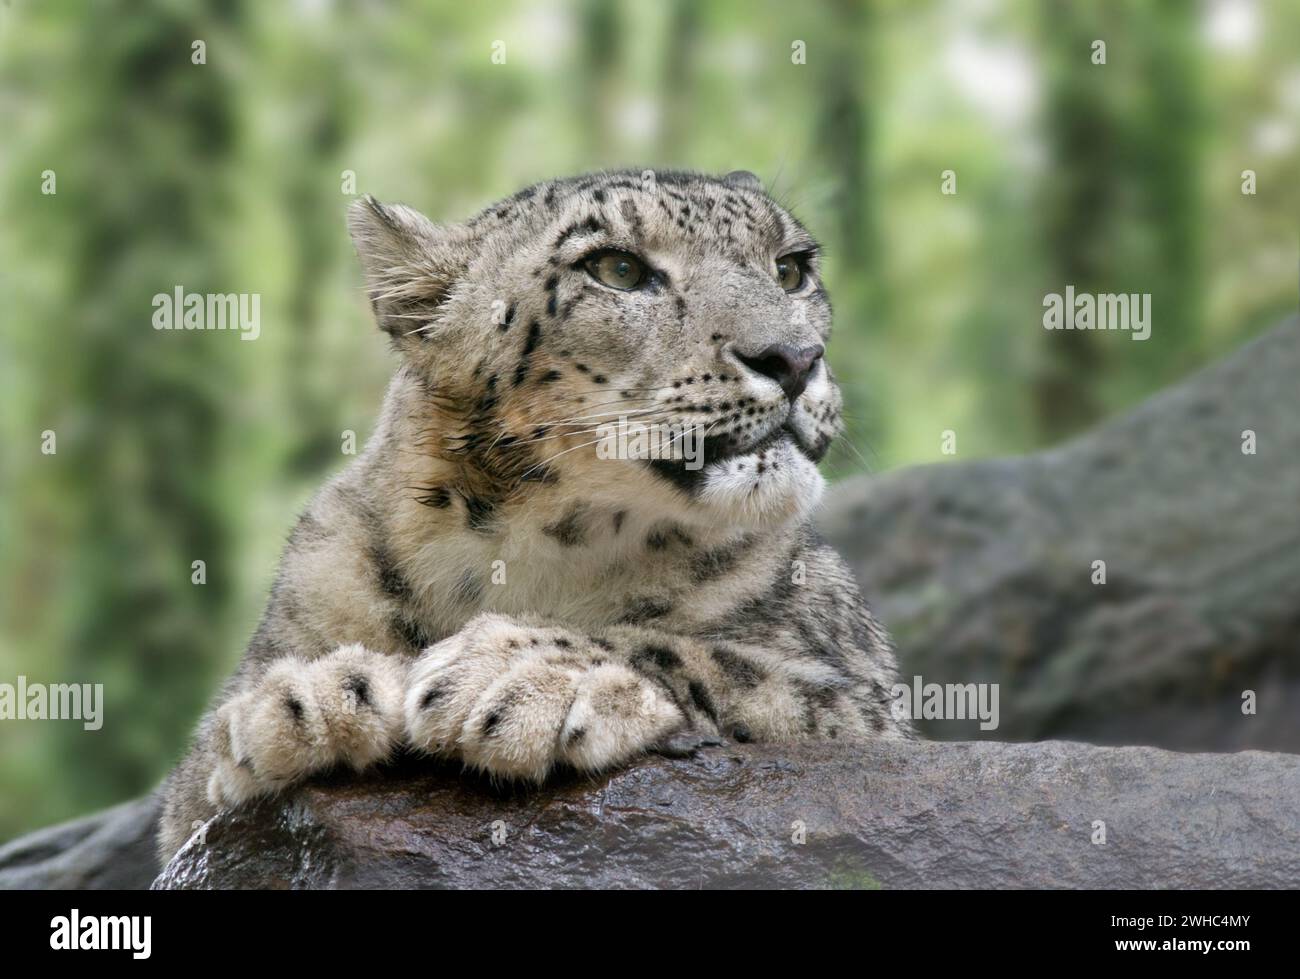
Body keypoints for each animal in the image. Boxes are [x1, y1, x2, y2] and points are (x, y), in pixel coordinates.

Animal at [157, 168, 910, 861]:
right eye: (618, 269)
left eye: (791, 269)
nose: (795, 358)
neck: (534, 550)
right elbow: (206, 766)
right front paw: (311, 697)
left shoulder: (871, 706)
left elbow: (734, 665)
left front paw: (518, 673)